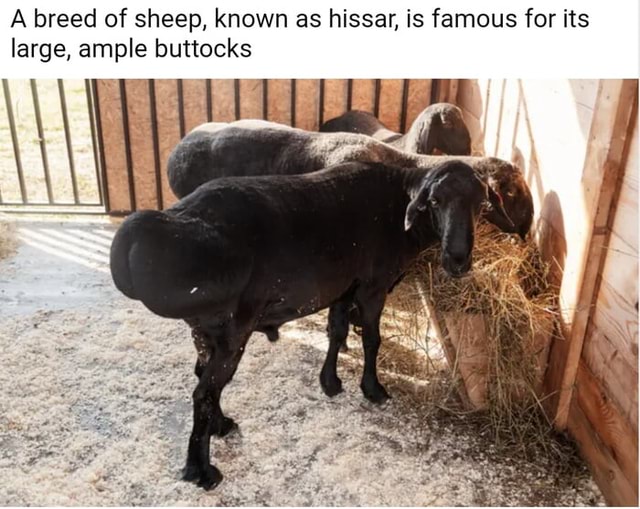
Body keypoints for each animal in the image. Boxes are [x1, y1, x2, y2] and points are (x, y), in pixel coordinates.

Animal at [110, 160, 512, 490]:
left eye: (481, 204)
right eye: (435, 202)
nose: (458, 260)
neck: (398, 210)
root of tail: (166, 222)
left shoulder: (342, 288)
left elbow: (336, 332)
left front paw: (330, 382)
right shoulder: (372, 286)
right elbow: (372, 339)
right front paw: (373, 388)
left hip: (204, 330)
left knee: (203, 380)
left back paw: (221, 427)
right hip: (230, 328)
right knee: (204, 394)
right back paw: (202, 471)